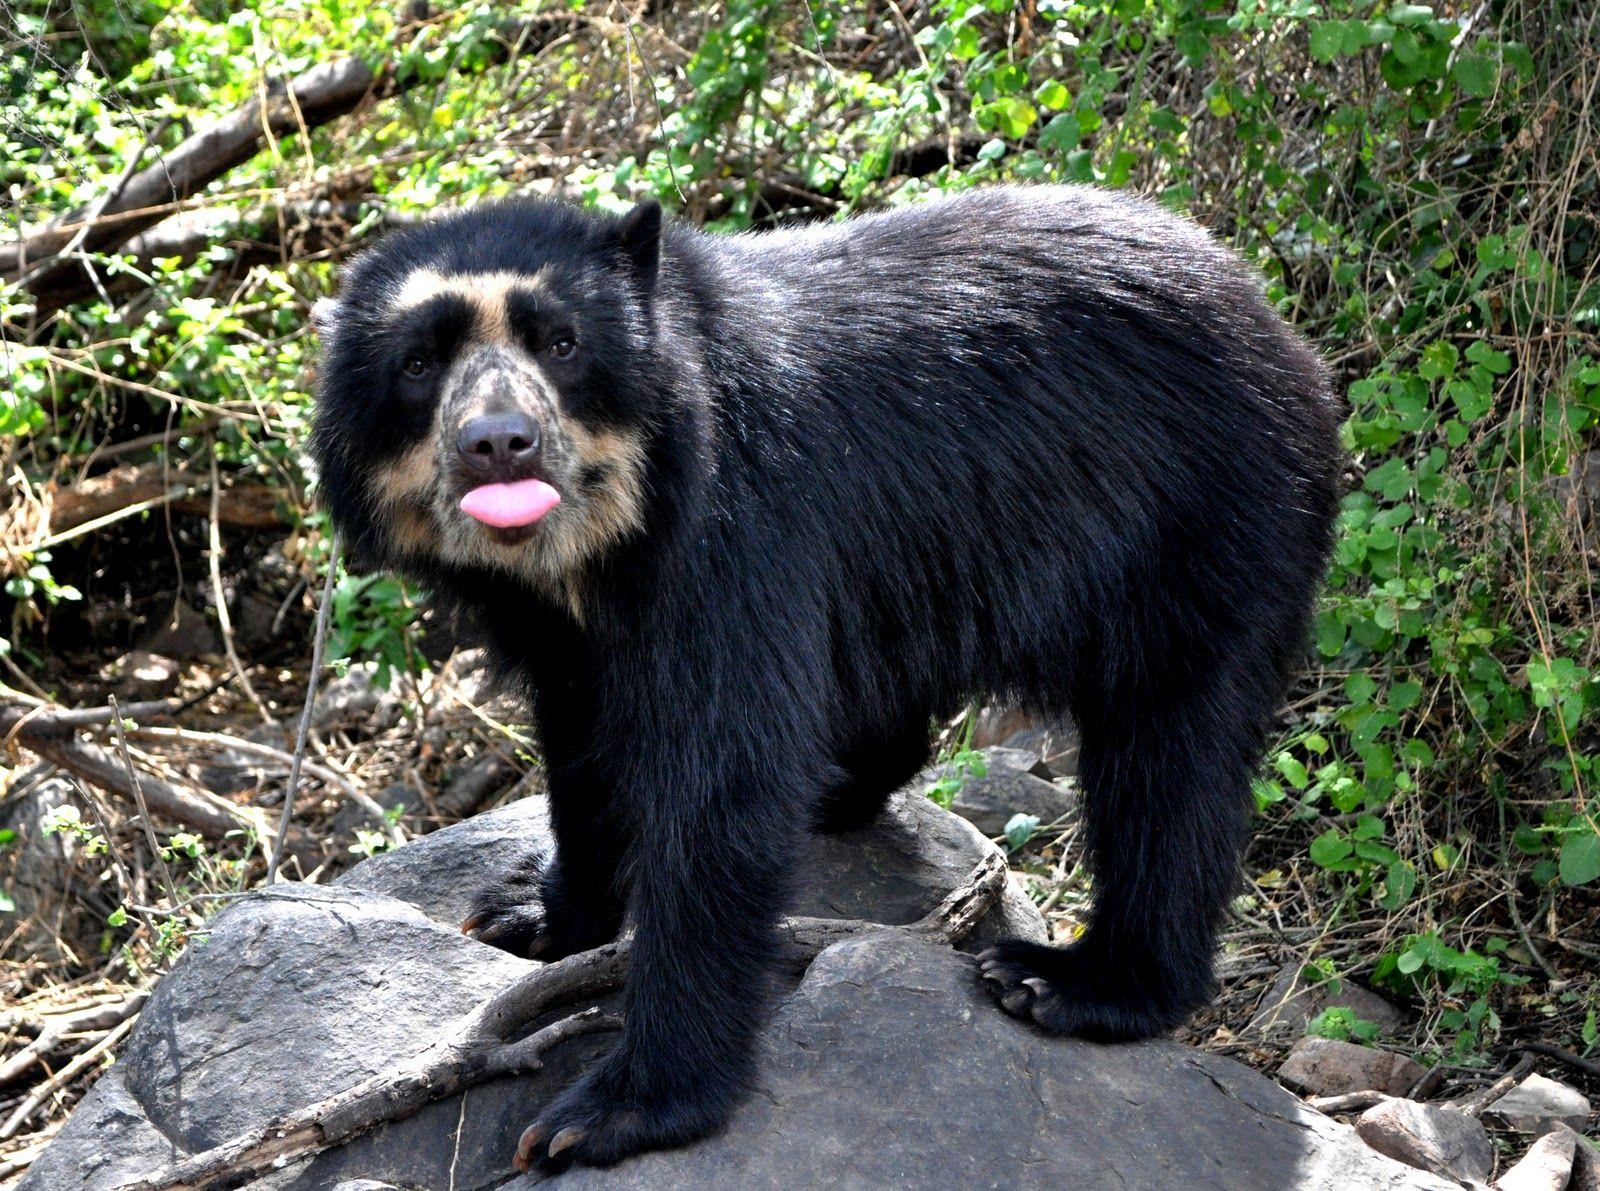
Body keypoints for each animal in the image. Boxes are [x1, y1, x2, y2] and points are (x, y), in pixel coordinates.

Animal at [308, 184, 1342, 1171]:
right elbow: (585, 747)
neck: (595, 545)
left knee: (1171, 755)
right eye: (418, 364)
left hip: (1206, 515)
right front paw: (529, 911)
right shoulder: (558, 626)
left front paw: (611, 1111)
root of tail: (1273, 315)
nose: (500, 445)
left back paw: (1069, 979)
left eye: (561, 343)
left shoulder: (741, 531)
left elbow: (725, 787)